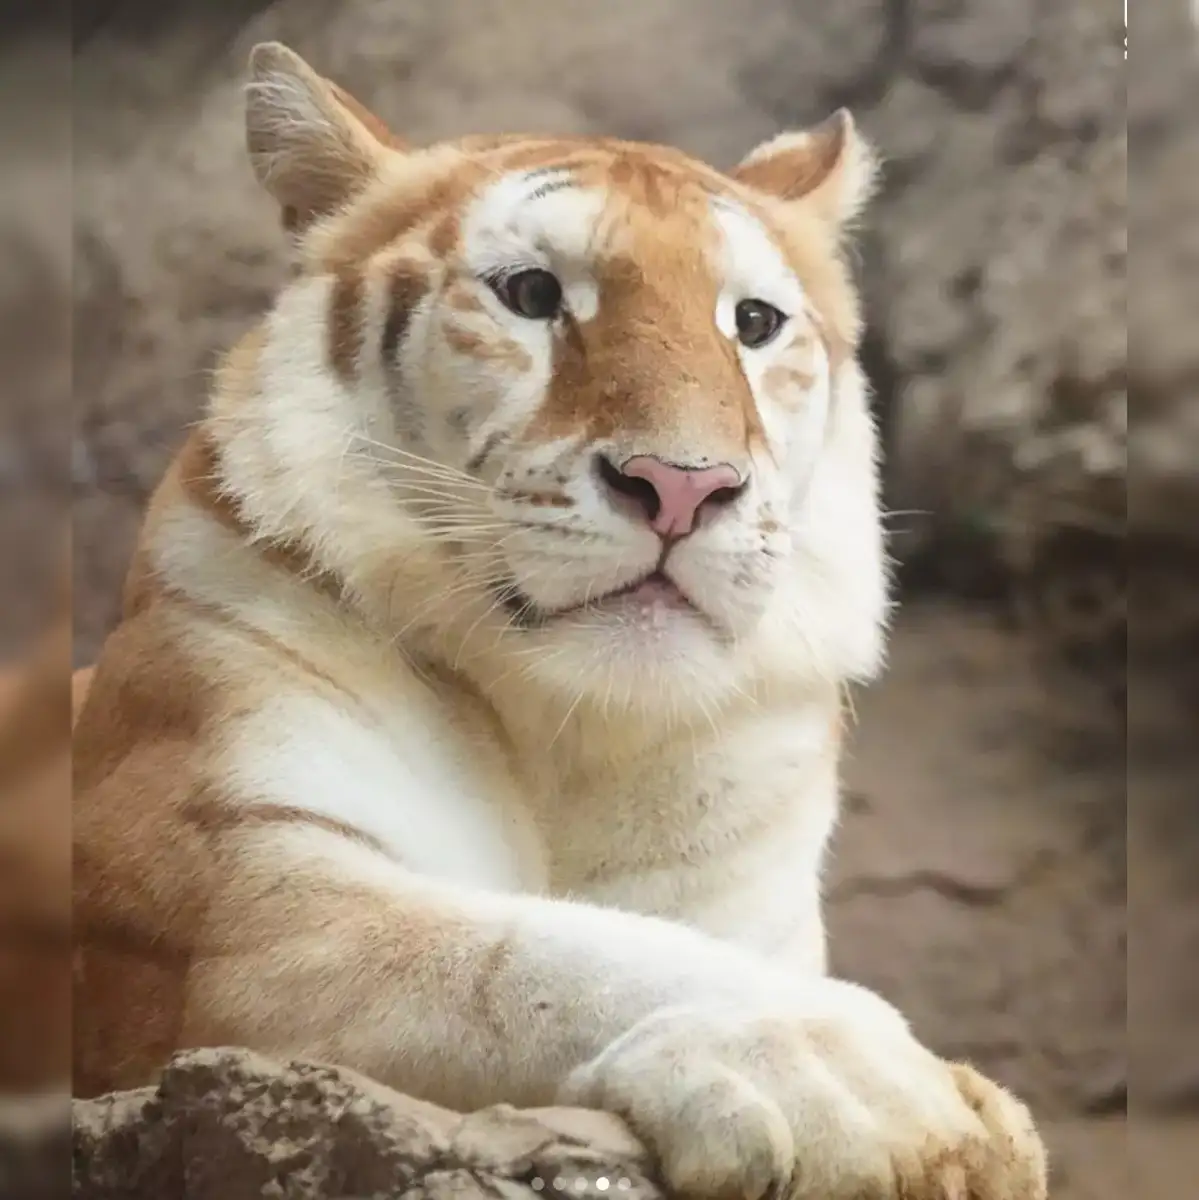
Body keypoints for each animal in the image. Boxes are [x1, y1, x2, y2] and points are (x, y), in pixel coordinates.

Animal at [72, 41, 1047, 1200]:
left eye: (751, 323)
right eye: (532, 295)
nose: (683, 486)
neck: (575, 736)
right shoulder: (223, 906)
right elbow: (533, 954)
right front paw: (873, 1089)